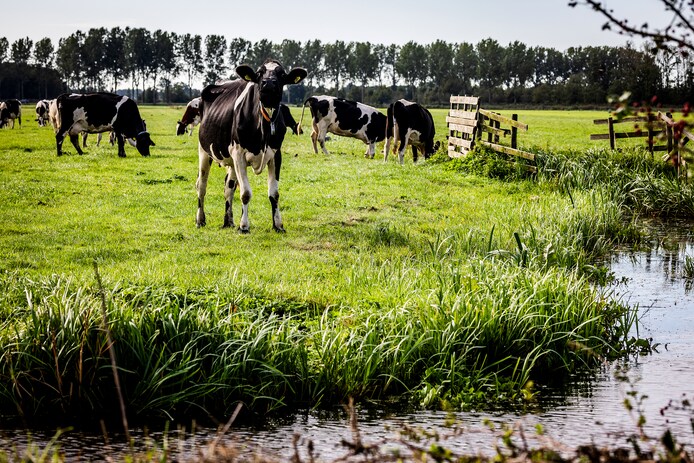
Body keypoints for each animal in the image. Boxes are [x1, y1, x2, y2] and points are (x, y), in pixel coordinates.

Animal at [196, 59, 307, 233]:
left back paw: (228, 221)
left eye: (282, 74)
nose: (269, 83)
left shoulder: (276, 154)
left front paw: (278, 225)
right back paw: (200, 220)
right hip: (204, 151)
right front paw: (244, 226)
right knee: (201, 185)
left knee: (229, 187)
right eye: (260, 73)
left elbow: (274, 193)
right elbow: (245, 193)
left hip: (231, 162)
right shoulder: (238, 154)